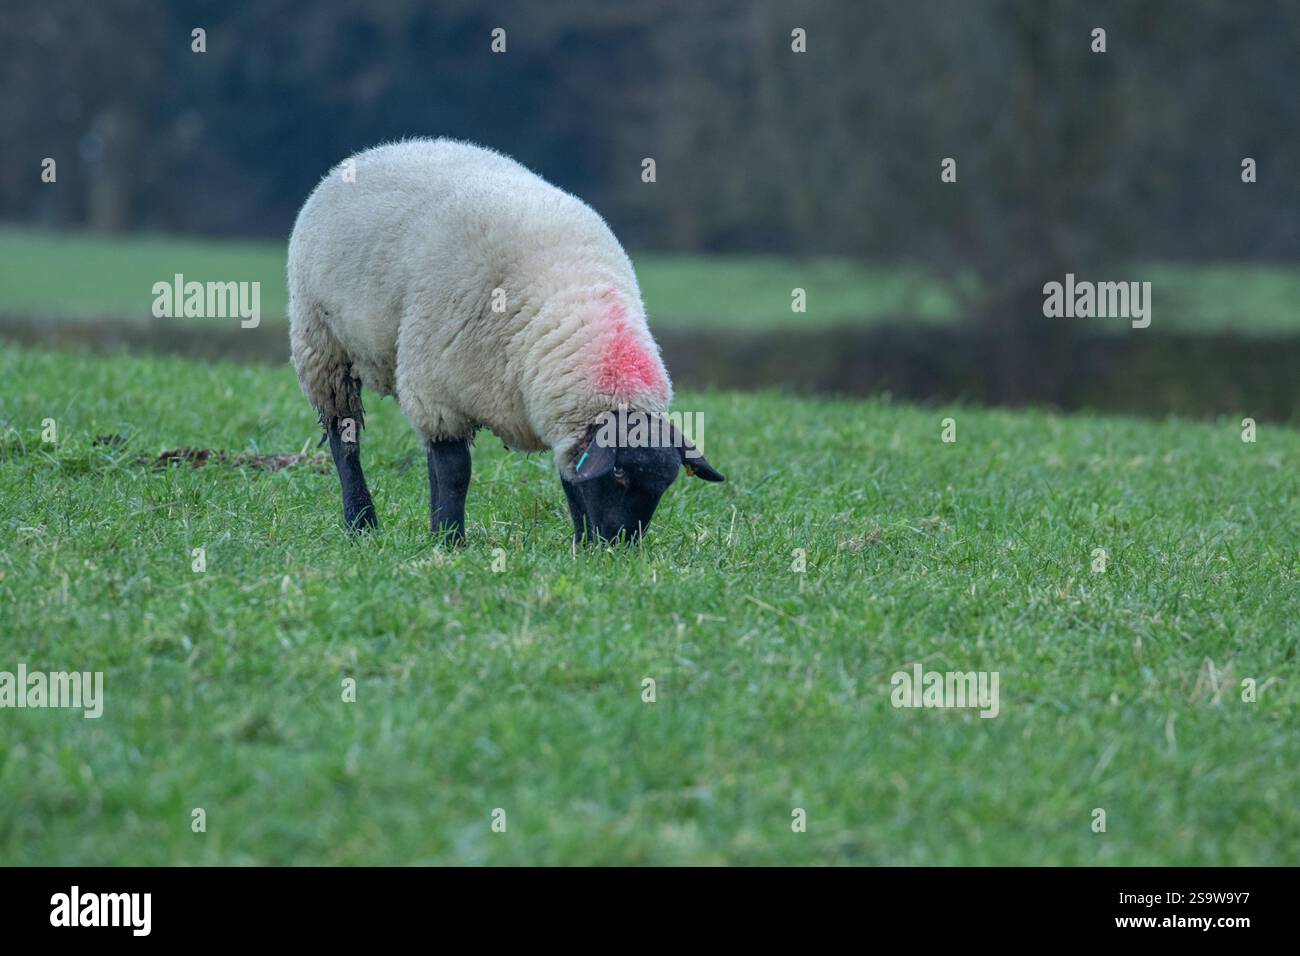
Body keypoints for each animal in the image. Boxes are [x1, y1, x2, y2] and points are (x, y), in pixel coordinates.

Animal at [288, 138, 724, 544]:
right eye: (618, 472)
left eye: (665, 484)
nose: (620, 545)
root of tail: (382, 148)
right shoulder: (436, 392)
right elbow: (453, 473)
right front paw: (448, 541)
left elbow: (571, 479)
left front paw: (581, 544)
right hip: (321, 348)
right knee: (344, 440)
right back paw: (361, 523)